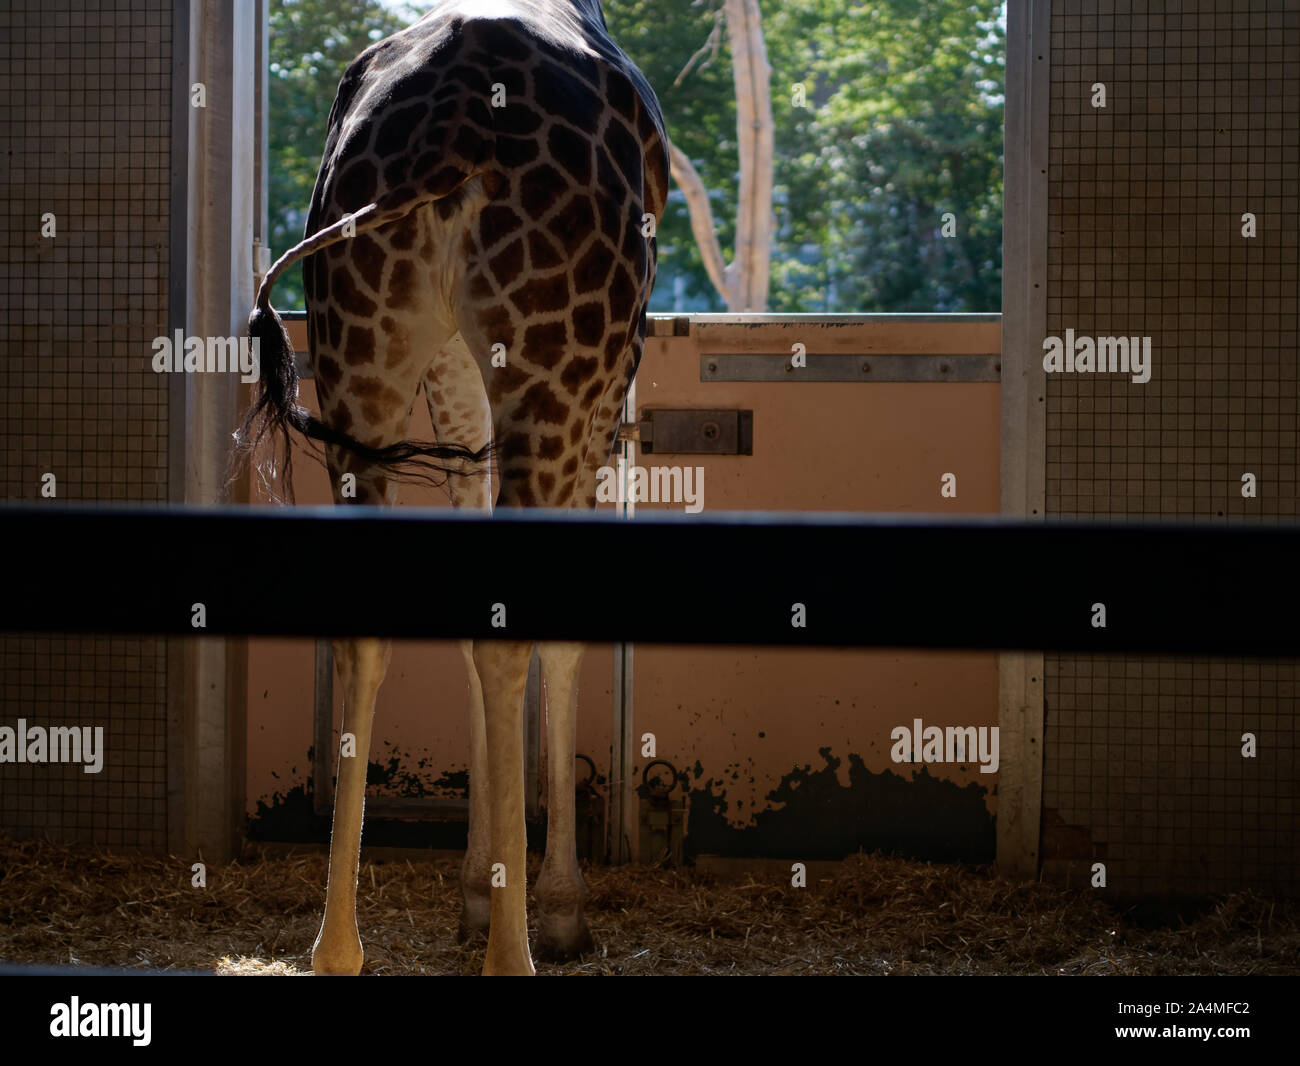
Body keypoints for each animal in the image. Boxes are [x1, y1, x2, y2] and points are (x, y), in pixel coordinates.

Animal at [238, 0, 669, 976]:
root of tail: (453, 136)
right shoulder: (600, 390)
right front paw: (556, 909)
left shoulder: (453, 371)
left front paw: (476, 892)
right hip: (558, 369)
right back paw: (515, 955)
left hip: (360, 360)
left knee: (363, 630)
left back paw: (337, 948)